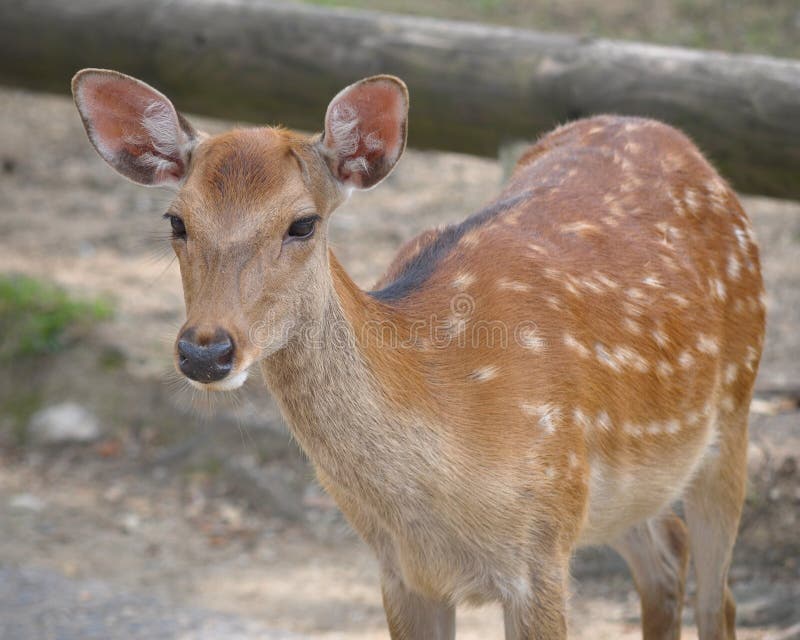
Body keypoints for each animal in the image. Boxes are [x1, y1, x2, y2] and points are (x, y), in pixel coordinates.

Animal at [72, 68, 765, 640]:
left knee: (719, 601)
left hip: (734, 407)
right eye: (176, 221)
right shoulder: (400, 571)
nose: (206, 351)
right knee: (667, 557)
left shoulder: (541, 551)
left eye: (303, 223)